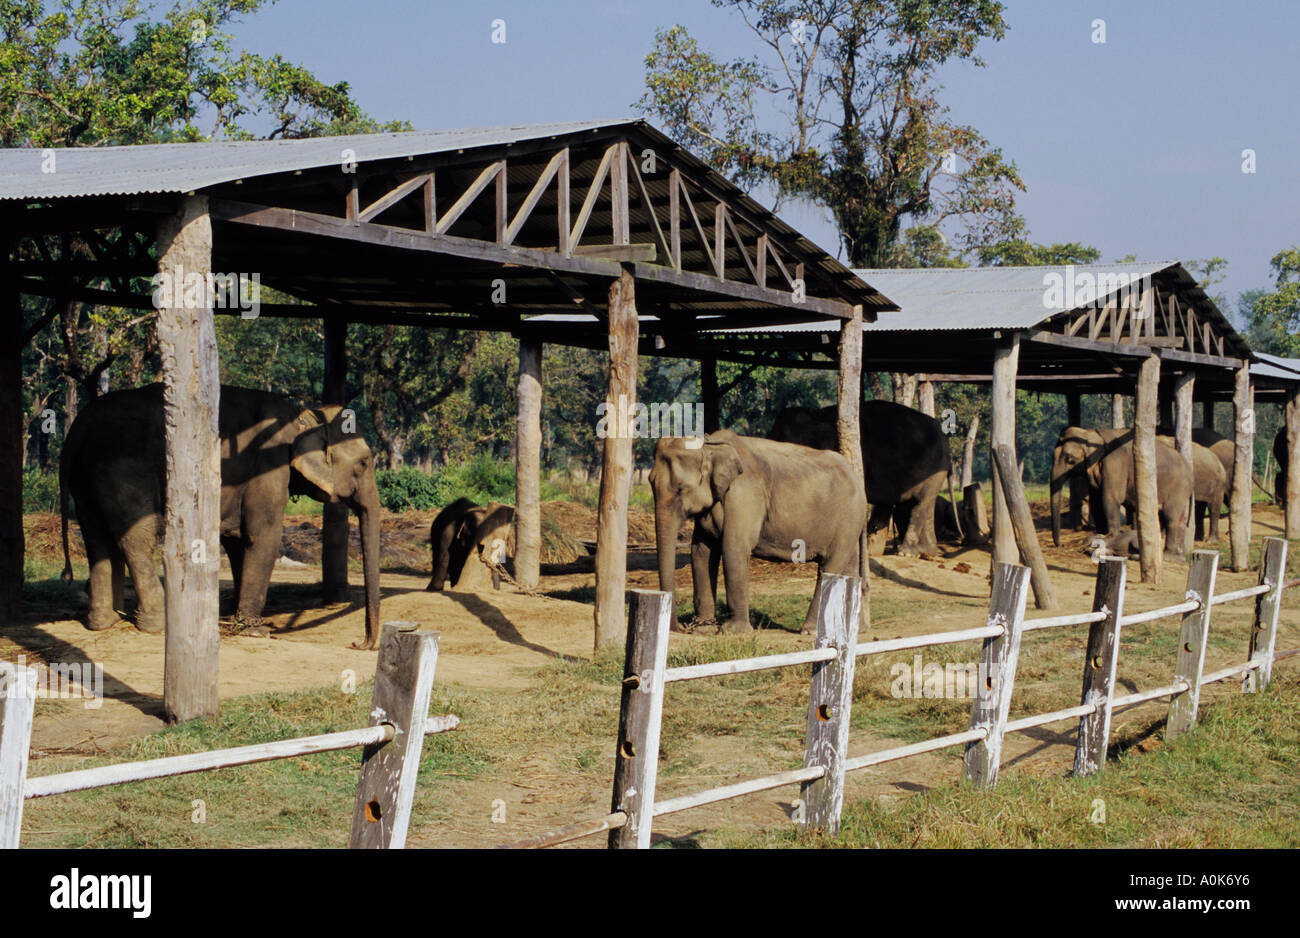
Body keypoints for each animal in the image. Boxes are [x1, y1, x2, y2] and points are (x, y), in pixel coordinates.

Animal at [60, 384, 383, 649]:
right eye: (364, 462)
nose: (359, 644)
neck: (305, 415)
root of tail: (76, 432)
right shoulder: (268, 465)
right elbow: (262, 535)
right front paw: (256, 631)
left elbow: (239, 541)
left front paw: (234, 616)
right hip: (124, 469)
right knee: (136, 540)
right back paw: (155, 624)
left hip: (86, 481)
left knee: (96, 540)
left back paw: (103, 621)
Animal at [650, 430, 866, 634]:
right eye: (651, 483)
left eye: (681, 488)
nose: (682, 627)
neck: (710, 445)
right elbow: (701, 552)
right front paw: (704, 630)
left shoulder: (744, 496)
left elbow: (734, 549)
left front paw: (733, 632)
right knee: (847, 569)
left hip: (849, 518)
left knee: (829, 567)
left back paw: (810, 631)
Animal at [768, 400, 955, 556]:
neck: (818, 416)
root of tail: (946, 440)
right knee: (924, 504)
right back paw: (927, 552)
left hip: (933, 469)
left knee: (920, 504)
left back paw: (906, 553)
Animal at [1049, 426, 1193, 561]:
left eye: (1070, 460)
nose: (1059, 545)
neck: (1090, 433)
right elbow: (1096, 502)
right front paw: (1101, 534)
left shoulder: (1115, 464)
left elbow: (1110, 498)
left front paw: (1110, 535)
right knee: (1162, 516)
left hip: (1180, 488)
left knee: (1171, 517)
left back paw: (1169, 556)